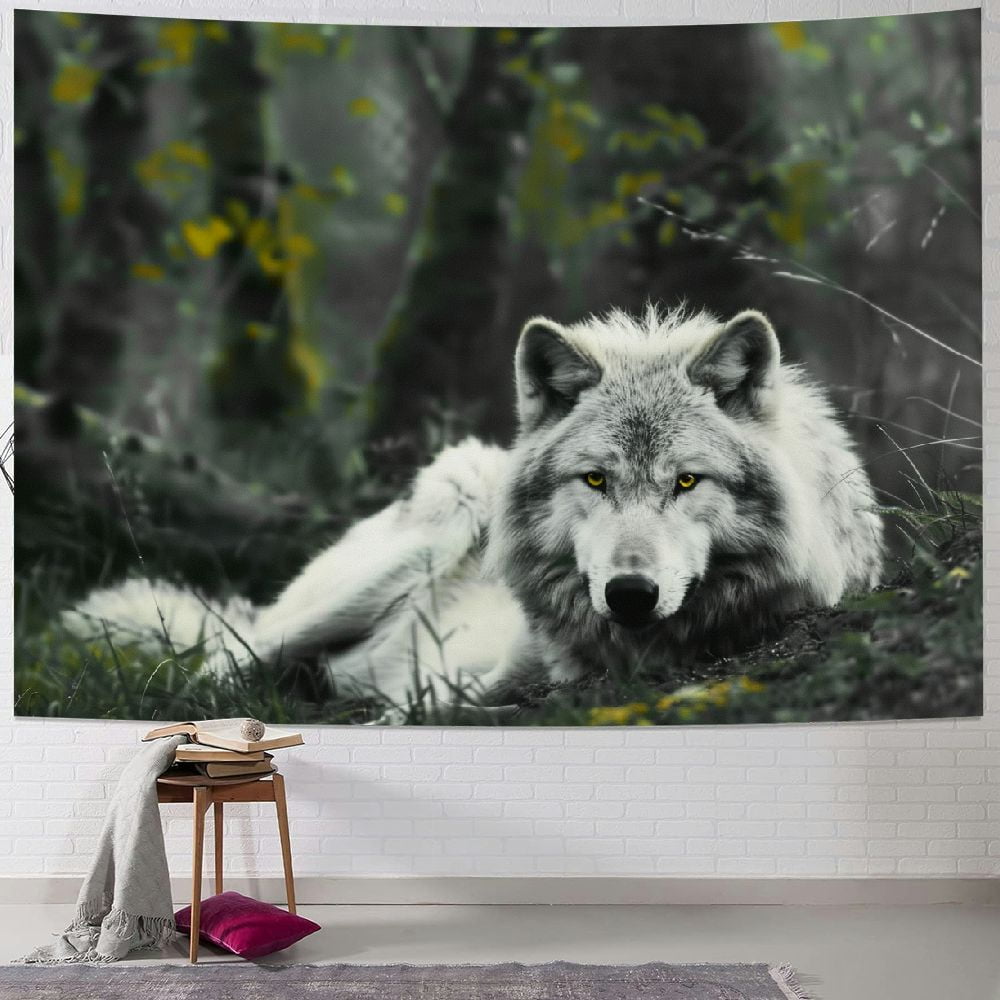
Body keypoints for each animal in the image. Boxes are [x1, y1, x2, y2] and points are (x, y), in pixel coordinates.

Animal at [66, 306, 884, 710]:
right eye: (594, 481)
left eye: (686, 482)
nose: (630, 592)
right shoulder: (469, 679)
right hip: (437, 513)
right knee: (222, 661)